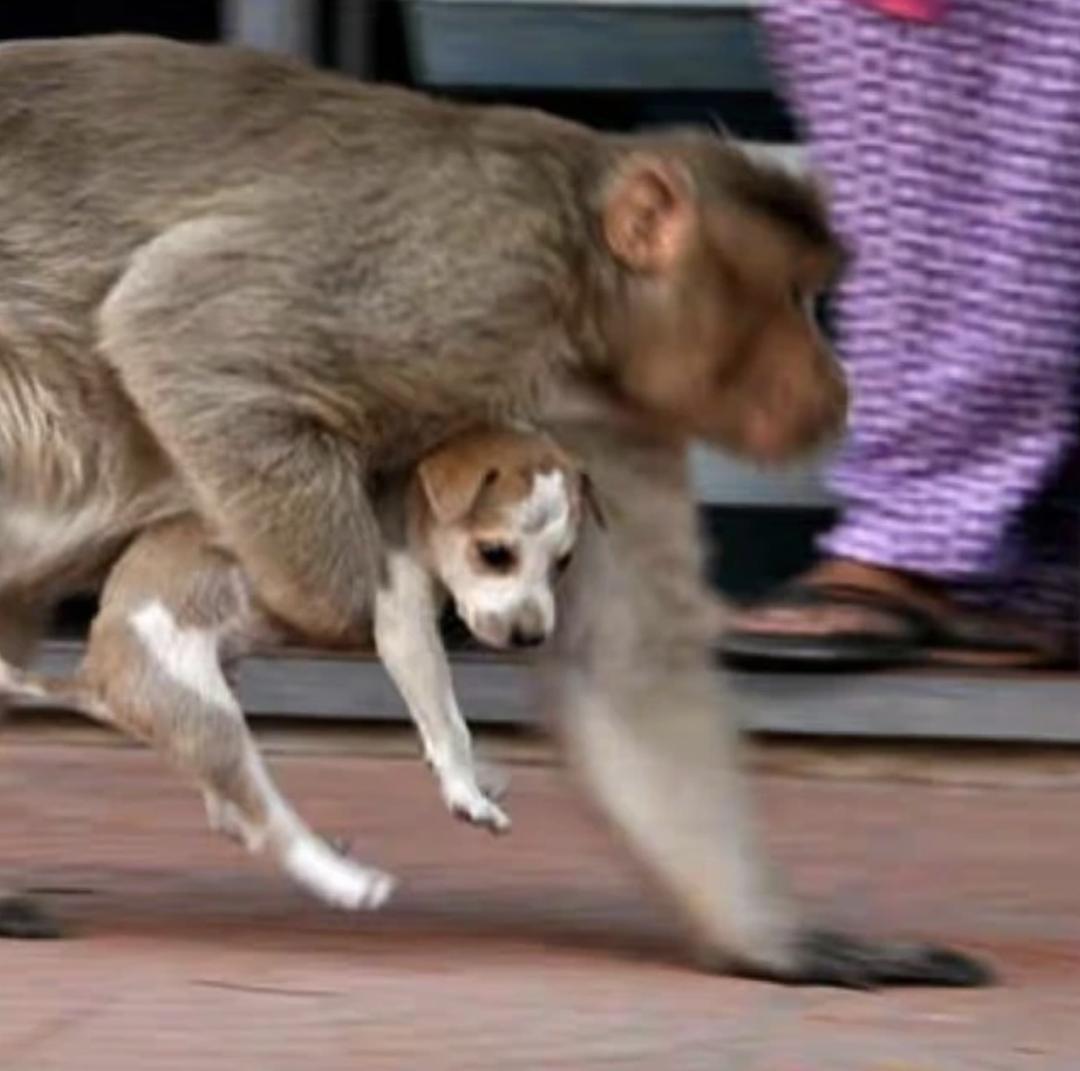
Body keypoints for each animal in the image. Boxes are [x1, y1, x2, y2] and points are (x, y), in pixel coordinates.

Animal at [0, 35, 989, 986]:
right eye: (793, 297)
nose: (837, 383)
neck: (580, 290)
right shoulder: (467, 280)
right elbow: (176, 328)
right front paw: (324, 609)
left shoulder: (604, 421)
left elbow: (626, 661)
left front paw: (782, 944)